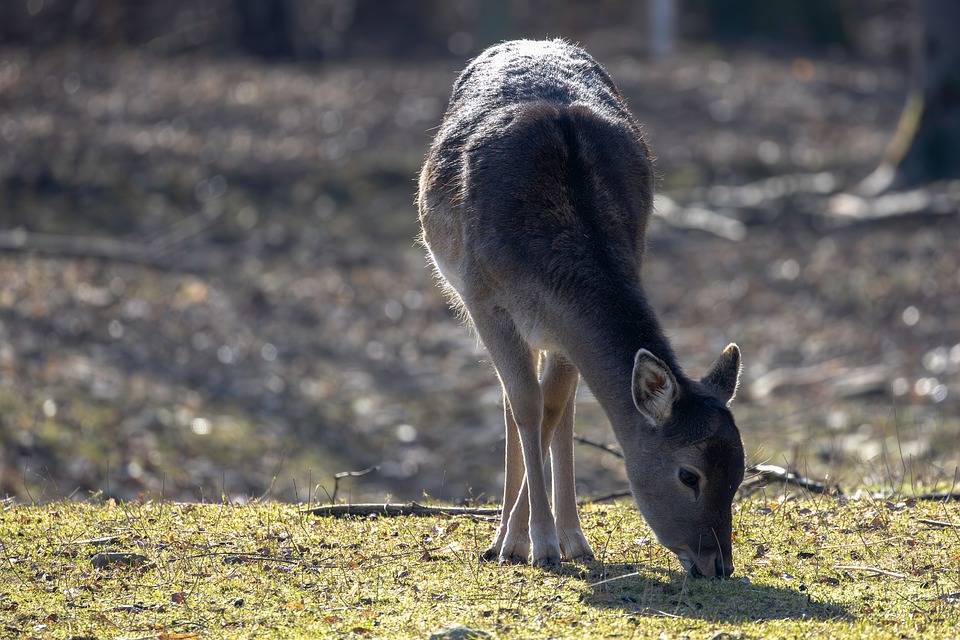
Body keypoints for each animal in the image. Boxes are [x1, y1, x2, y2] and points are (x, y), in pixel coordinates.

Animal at [417, 39, 745, 579]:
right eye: (688, 474)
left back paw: (572, 538)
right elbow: (528, 407)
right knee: (512, 401)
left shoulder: (565, 328)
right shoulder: (486, 301)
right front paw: (529, 544)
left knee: (559, 405)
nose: (717, 564)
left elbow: (552, 409)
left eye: (740, 473)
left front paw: (547, 540)